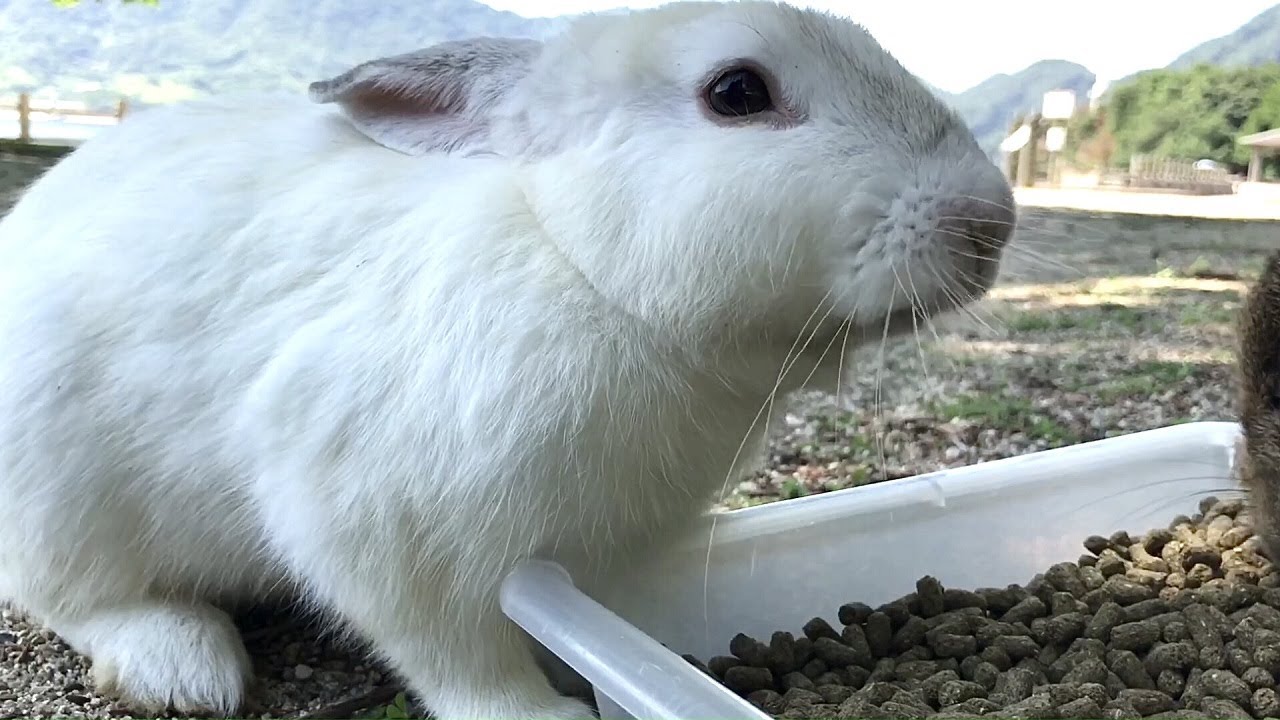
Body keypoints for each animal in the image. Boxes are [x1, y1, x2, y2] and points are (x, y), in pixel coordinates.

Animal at [0, 1, 1016, 718]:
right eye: (736, 92)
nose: (990, 223)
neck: (577, 261)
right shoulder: (387, 527)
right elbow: (456, 653)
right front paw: (545, 712)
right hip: (60, 498)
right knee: (73, 596)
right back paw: (183, 665)